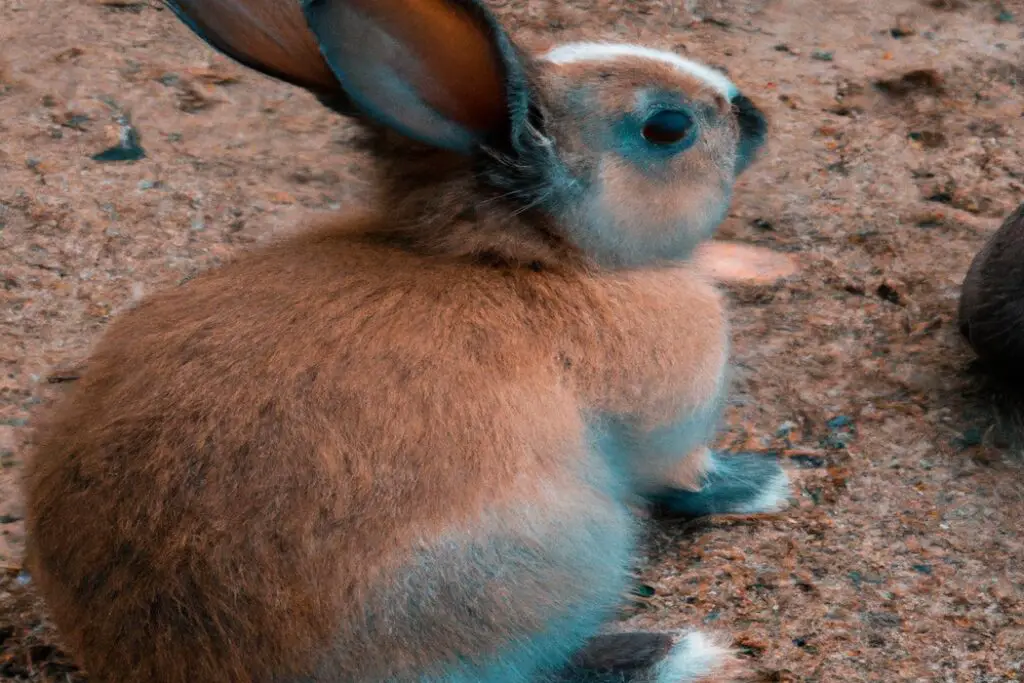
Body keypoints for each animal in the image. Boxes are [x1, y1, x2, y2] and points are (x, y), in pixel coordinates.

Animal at [23, 0, 790, 681]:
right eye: (667, 127)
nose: (752, 113)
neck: (536, 259)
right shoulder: (668, 433)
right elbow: (685, 475)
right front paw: (765, 483)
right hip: (563, 553)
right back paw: (679, 652)